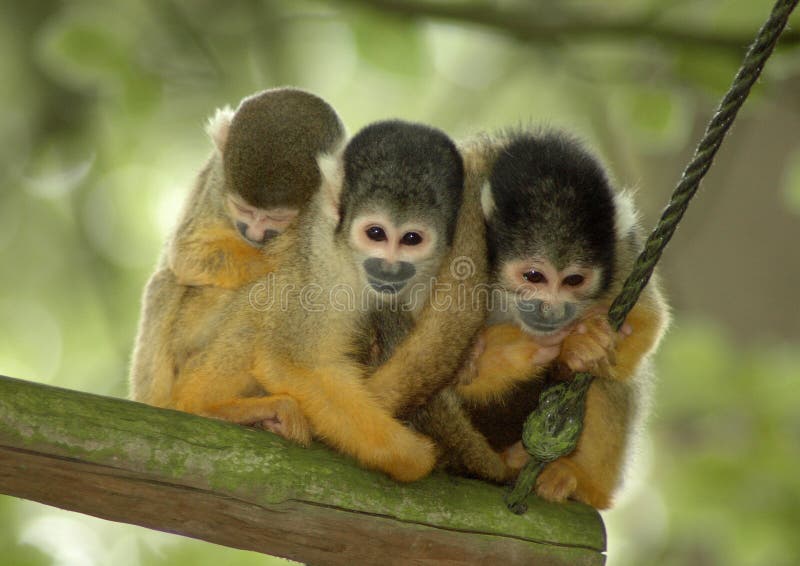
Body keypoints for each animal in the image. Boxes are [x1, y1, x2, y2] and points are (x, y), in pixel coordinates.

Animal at [129, 87, 346, 413]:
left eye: (276, 219)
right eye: (242, 208)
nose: (253, 233)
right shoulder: (216, 181)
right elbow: (186, 255)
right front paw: (270, 264)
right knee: (165, 283)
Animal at [169, 119, 474, 482]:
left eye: (412, 239)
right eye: (375, 233)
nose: (388, 267)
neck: (350, 259)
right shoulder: (320, 257)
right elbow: (291, 360)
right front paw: (410, 456)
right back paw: (203, 403)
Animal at [452, 129, 670, 508]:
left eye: (573, 281)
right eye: (534, 276)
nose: (551, 311)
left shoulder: (620, 249)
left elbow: (648, 321)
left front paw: (578, 348)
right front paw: (510, 353)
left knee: (608, 381)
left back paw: (580, 479)